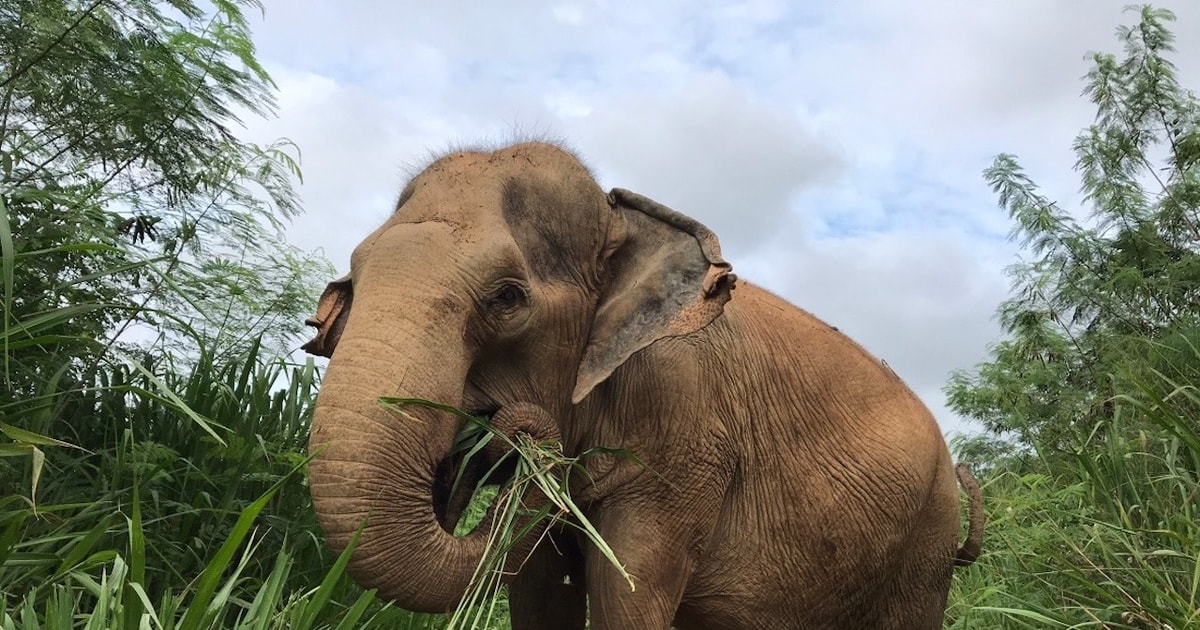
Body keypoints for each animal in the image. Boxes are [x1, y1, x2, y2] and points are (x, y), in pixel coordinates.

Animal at [301, 140, 985, 629]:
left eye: (507, 298)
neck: (626, 221)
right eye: (352, 286)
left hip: (925, 548)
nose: (506, 433)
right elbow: (538, 586)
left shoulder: (683, 447)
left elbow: (628, 593)